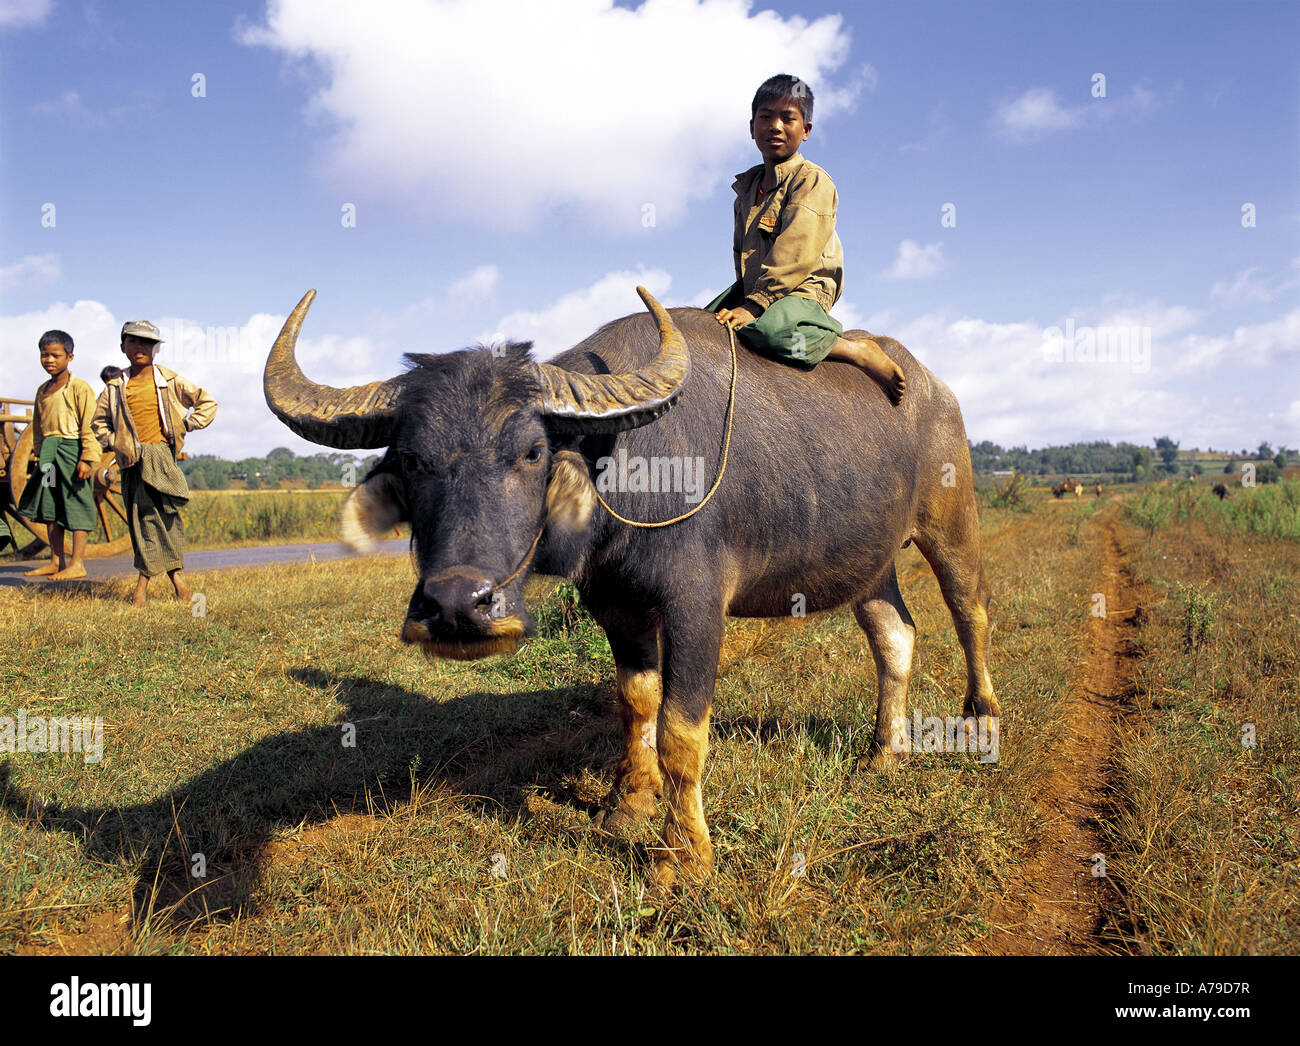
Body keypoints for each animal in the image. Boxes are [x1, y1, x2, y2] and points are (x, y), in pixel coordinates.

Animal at [264, 288, 999, 886]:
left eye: (532, 453)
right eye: (412, 460)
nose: (456, 607)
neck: (625, 461)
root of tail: (936, 389)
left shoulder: (699, 605)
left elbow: (681, 728)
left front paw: (684, 857)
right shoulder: (616, 606)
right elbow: (637, 701)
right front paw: (627, 805)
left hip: (950, 519)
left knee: (970, 610)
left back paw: (982, 717)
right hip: (869, 561)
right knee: (894, 636)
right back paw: (882, 755)